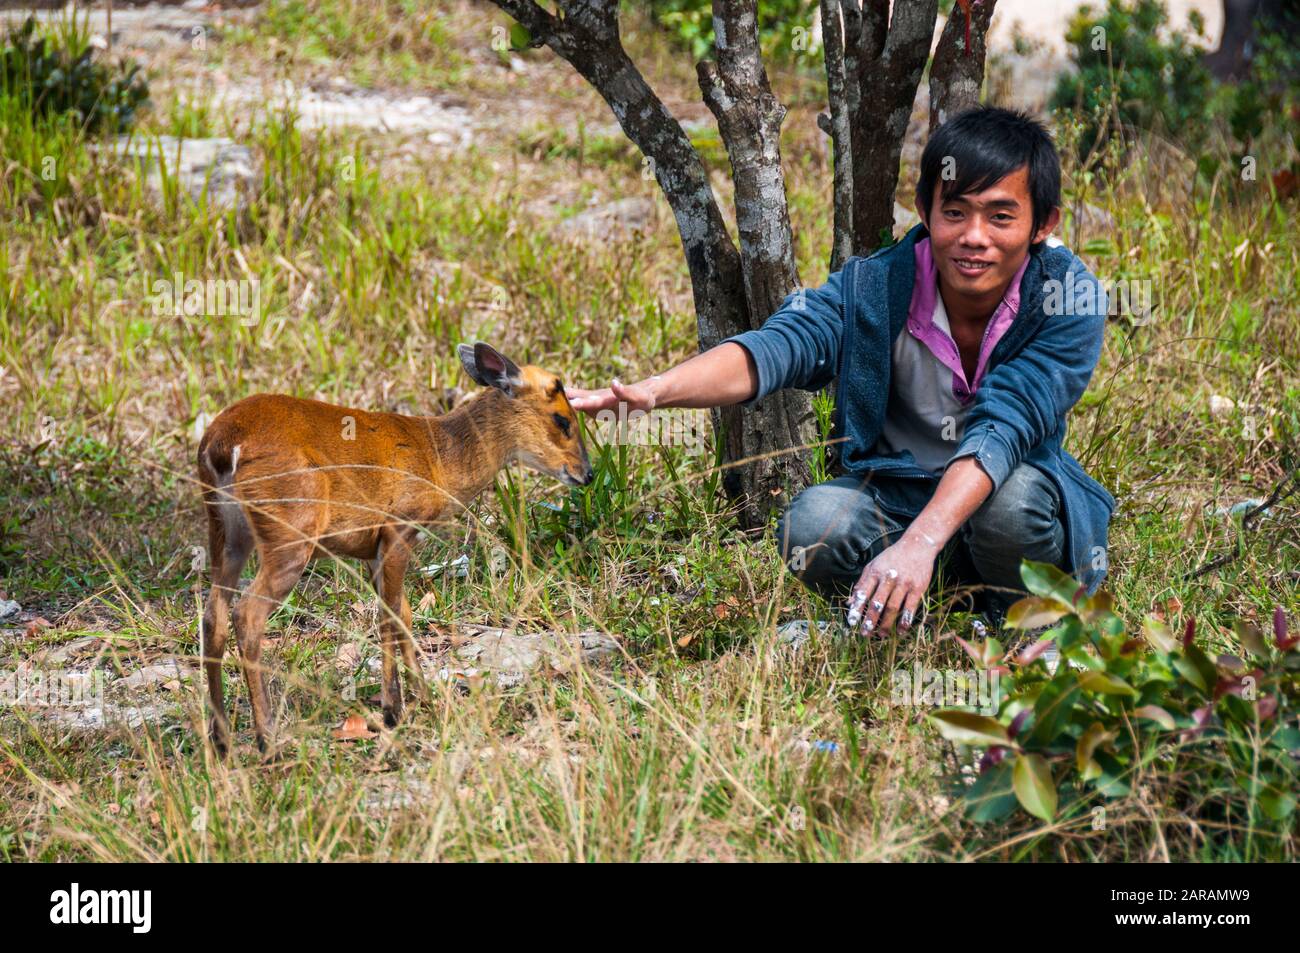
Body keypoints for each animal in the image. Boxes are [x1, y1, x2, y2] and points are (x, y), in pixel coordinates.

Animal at [196, 342, 592, 754]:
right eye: (563, 420)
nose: (587, 473)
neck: (439, 459)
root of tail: (221, 445)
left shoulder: (374, 550)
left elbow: (402, 612)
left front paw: (423, 696)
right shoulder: (399, 527)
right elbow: (389, 616)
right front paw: (392, 709)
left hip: (226, 532)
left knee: (213, 617)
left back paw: (222, 738)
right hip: (291, 529)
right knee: (247, 614)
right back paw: (267, 739)